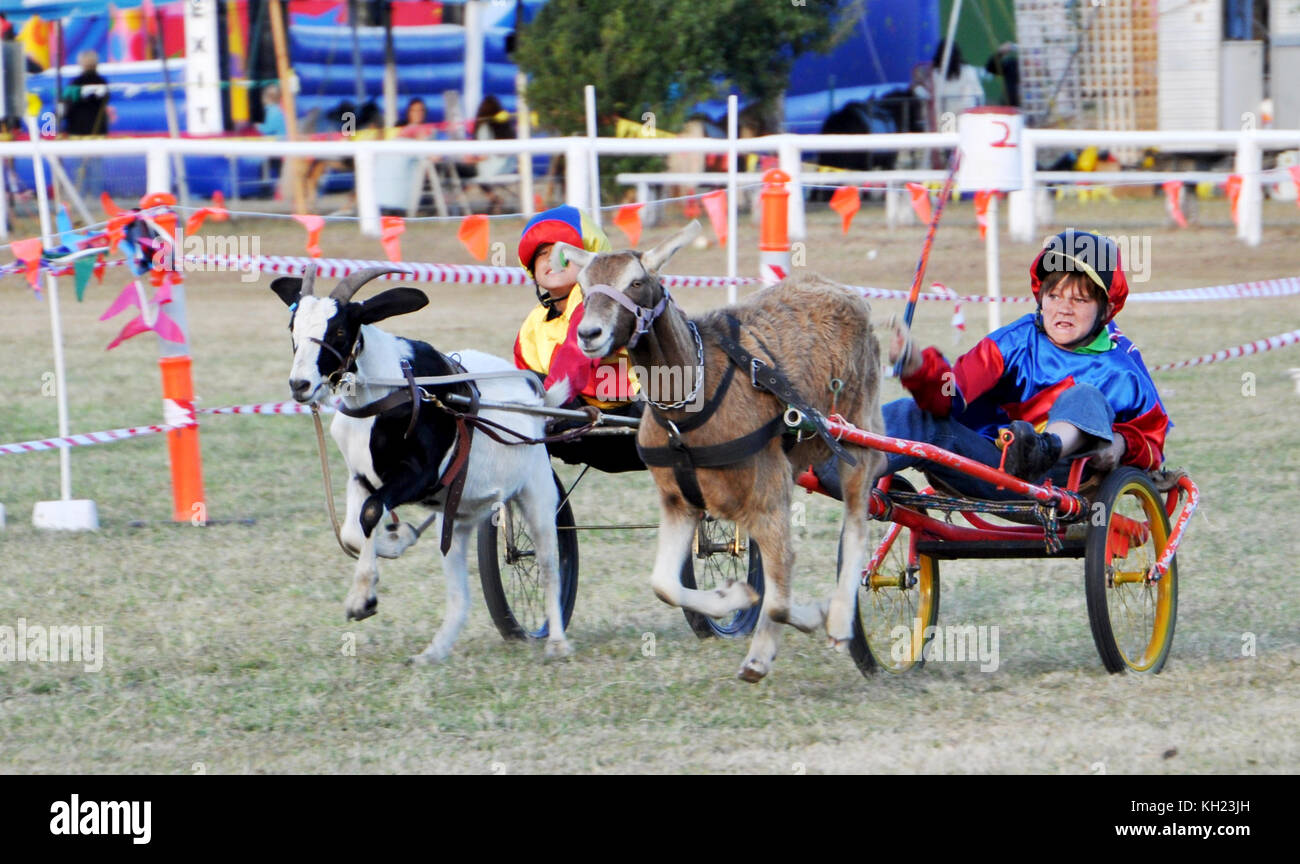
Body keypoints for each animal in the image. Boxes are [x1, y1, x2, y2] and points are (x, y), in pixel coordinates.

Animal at [271, 264, 573, 663]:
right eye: (293, 327)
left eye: (337, 330)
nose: (300, 385)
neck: (389, 388)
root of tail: (539, 400)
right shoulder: (361, 477)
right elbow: (354, 529)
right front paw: (391, 545)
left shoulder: (419, 474)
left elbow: (370, 512)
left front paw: (362, 599)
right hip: (459, 515)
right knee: (460, 595)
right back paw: (433, 651)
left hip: (536, 492)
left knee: (550, 564)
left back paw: (557, 643)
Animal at [555, 222, 885, 682]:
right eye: (584, 287)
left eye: (636, 282)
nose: (589, 335)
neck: (689, 406)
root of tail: (847, 293)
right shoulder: (679, 501)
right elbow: (664, 585)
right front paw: (734, 595)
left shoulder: (768, 493)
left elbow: (779, 596)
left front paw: (771, 646)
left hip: (856, 433)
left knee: (857, 519)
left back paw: (838, 620)